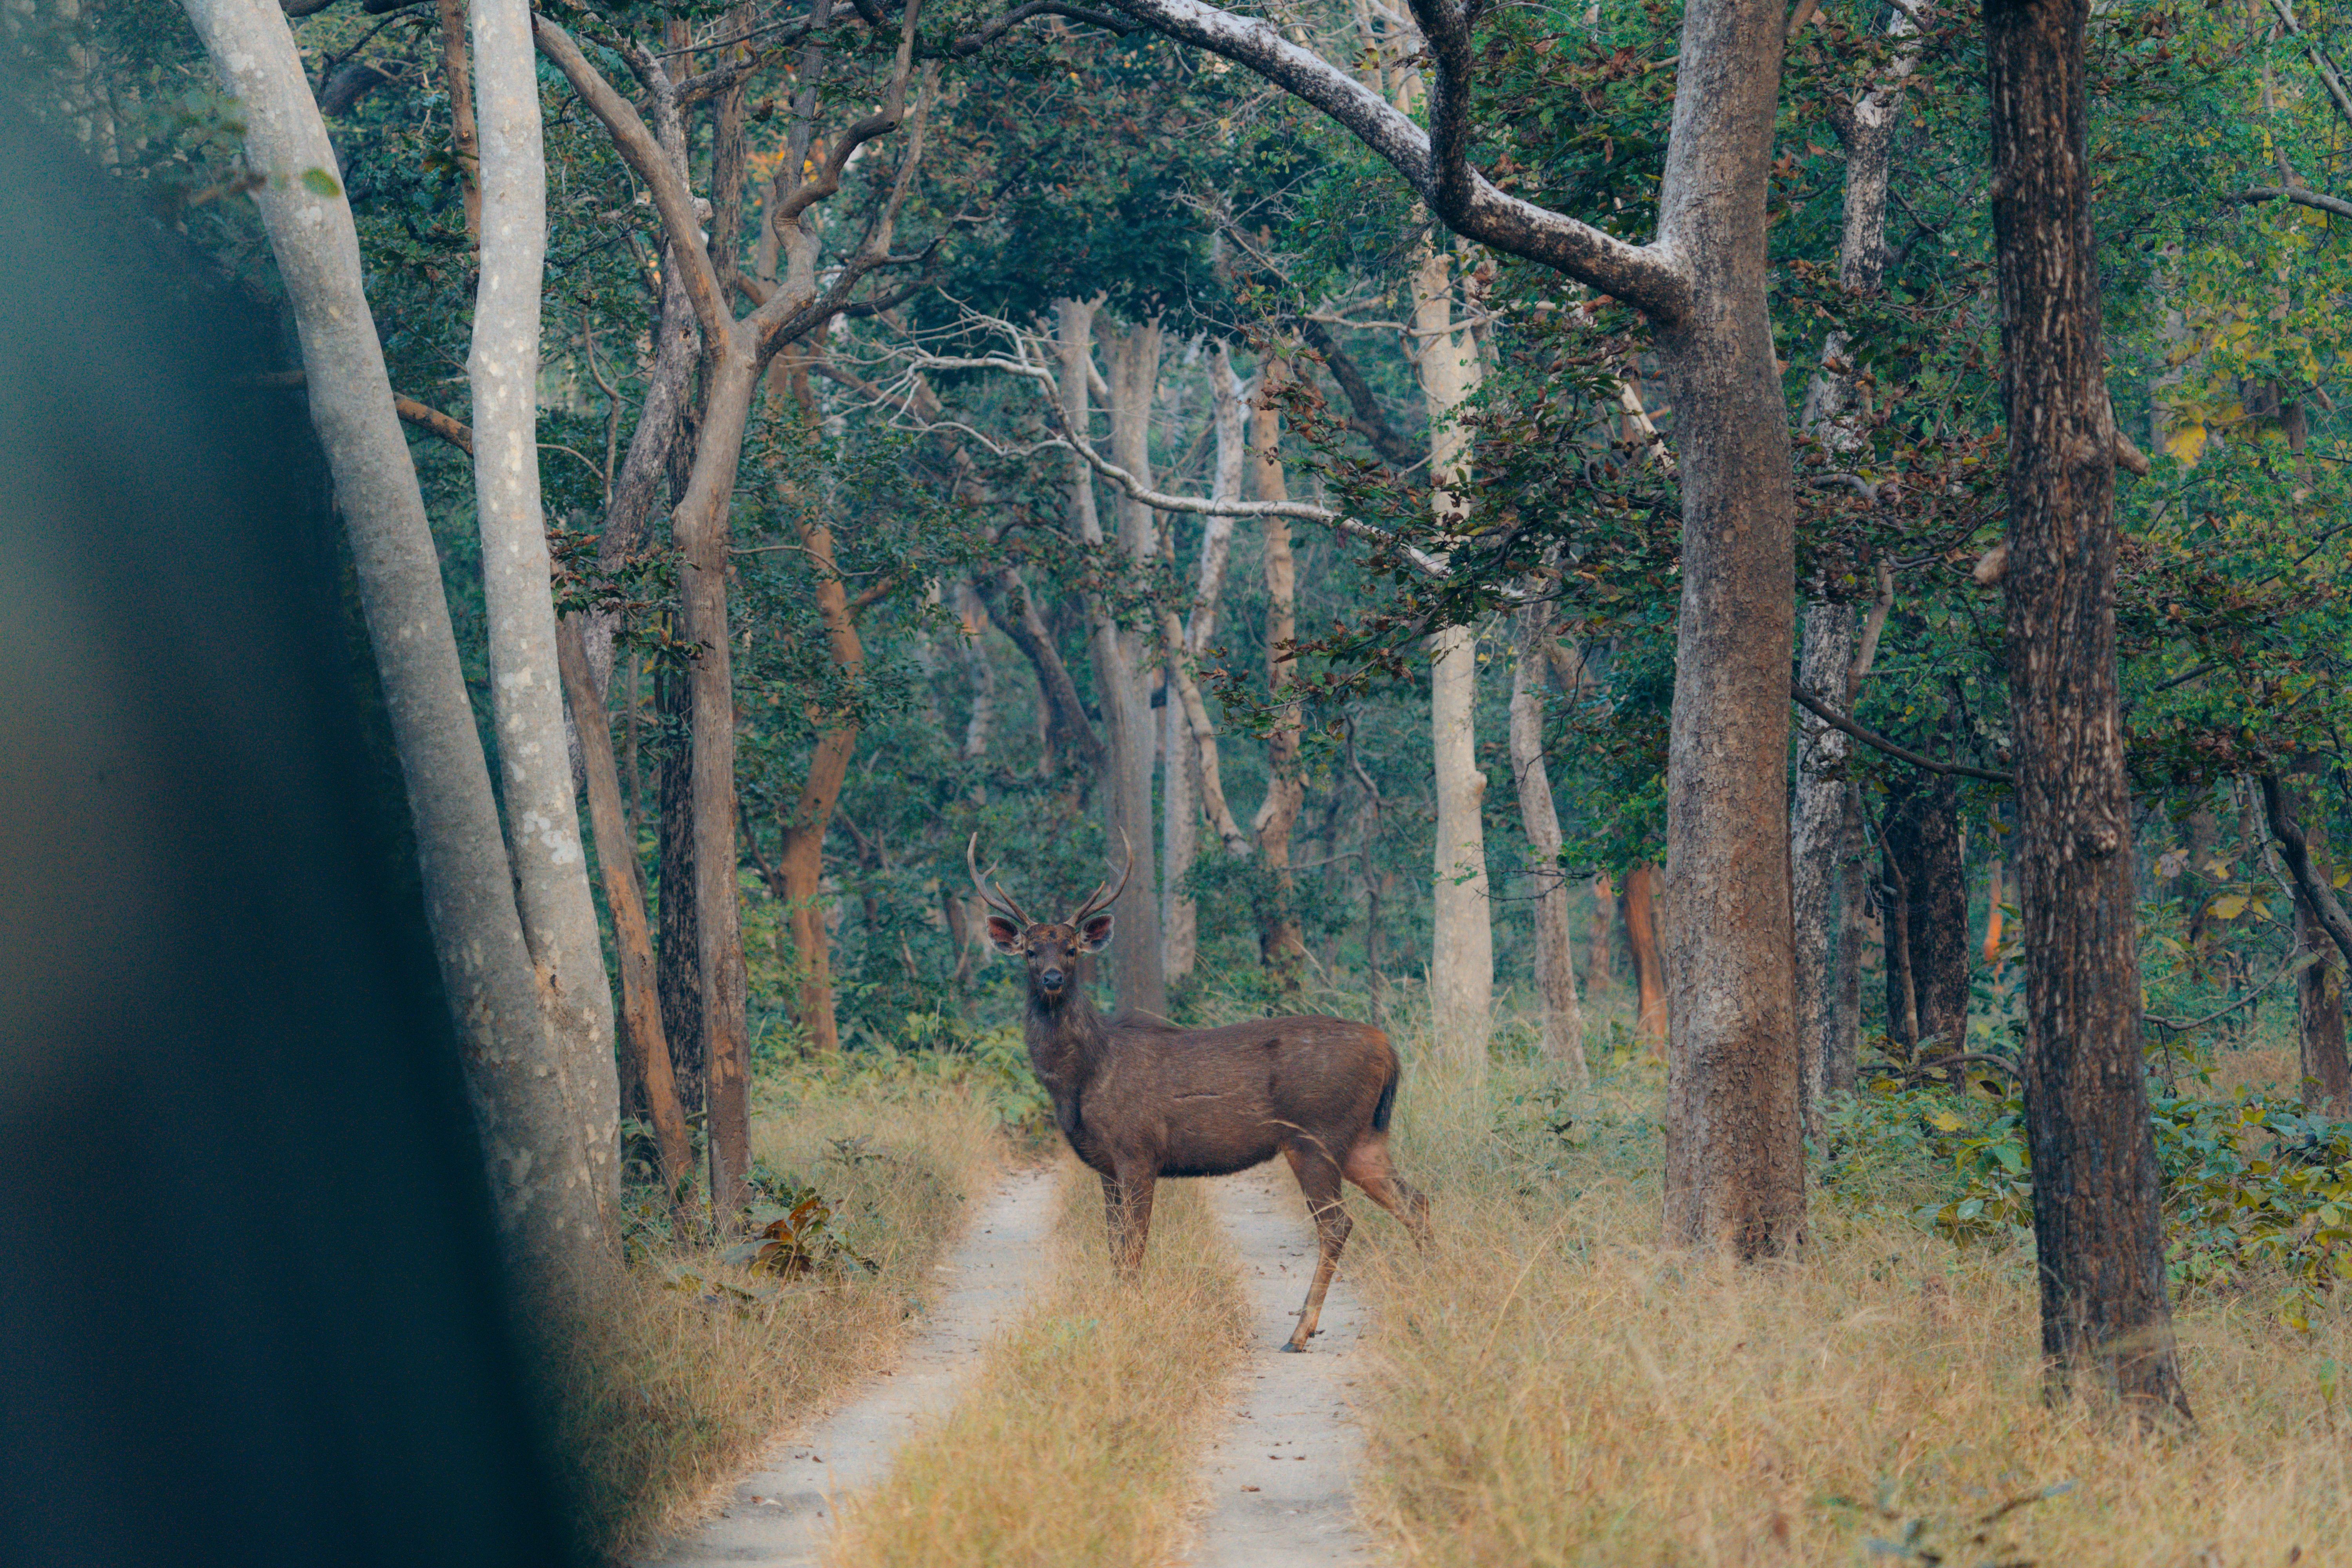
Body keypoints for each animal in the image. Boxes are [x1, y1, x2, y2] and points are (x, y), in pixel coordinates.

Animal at [970, 835, 1430, 1351]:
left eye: (1071, 950)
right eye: (1030, 951)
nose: (1052, 979)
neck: (1083, 1077)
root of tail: (1387, 1047)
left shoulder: (1138, 1150)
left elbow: (1134, 1244)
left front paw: (1133, 1314)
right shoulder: (1107, 1166)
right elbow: (1114, 1246)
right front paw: (1118, 1308)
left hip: (1316, 1134)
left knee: (1338, 1223)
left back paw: (1301, 1330)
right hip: (1364, 1138)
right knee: (1417, 1203)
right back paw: (1431, 1295)